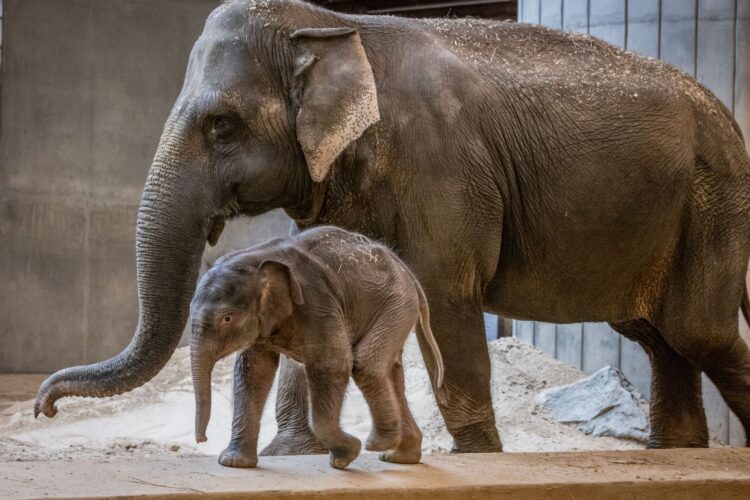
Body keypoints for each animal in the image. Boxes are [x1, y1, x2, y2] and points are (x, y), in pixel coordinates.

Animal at [189, 225, 445, 469]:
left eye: (227, 319)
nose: (202, 439)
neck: (257, 257)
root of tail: (407, 272)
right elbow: (253, 372)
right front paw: (234, 463)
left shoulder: (317, 302)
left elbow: (332, 363)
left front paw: (346, 455)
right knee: (390, 372)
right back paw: (399, 456)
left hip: (396, 303)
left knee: (366, 364)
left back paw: (378, 444)